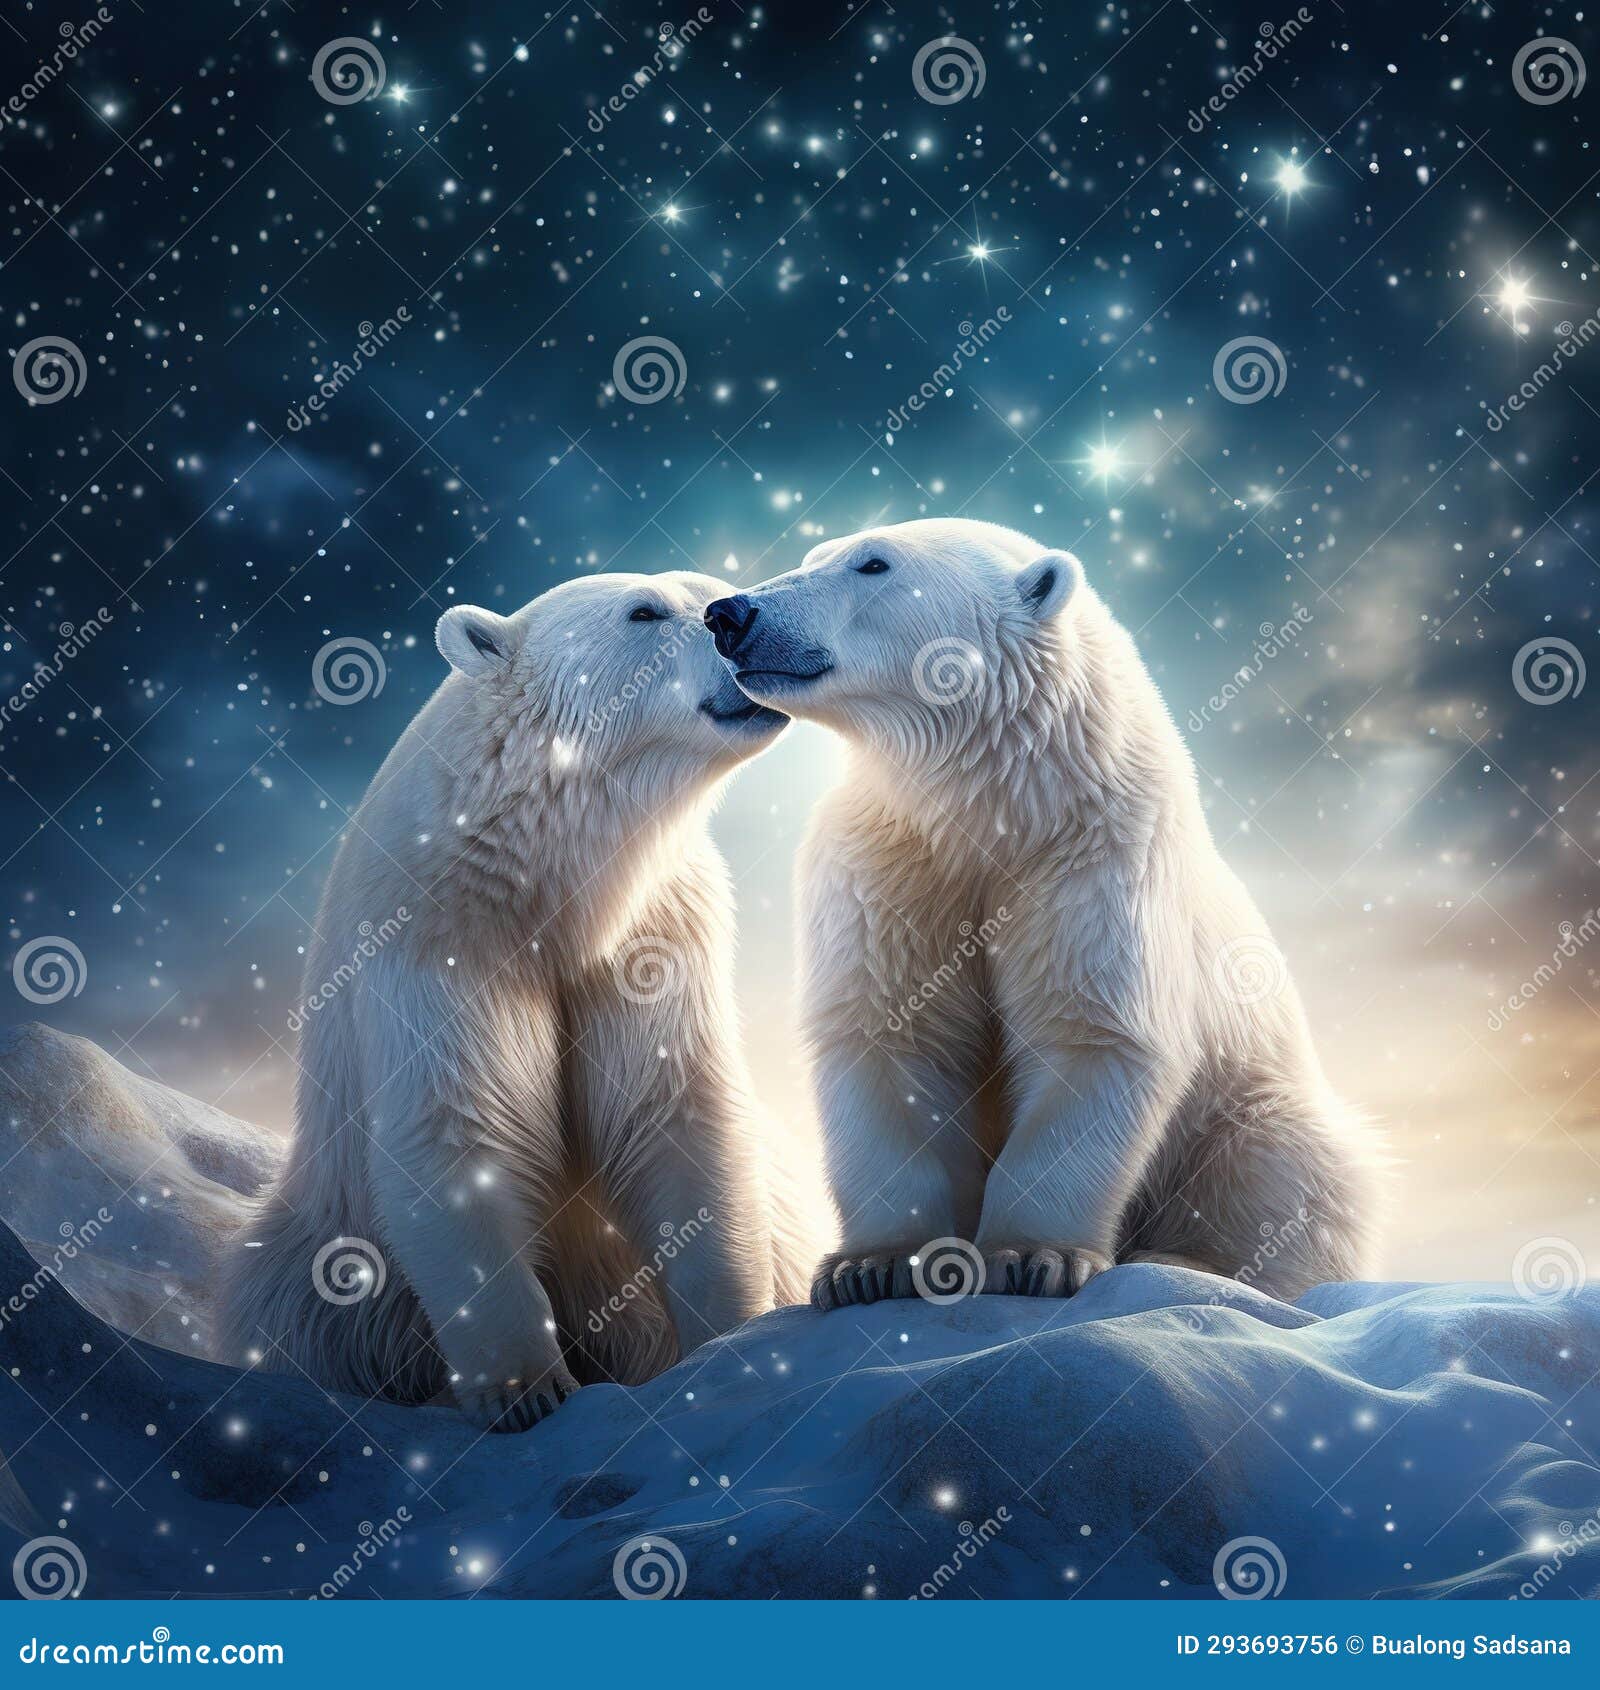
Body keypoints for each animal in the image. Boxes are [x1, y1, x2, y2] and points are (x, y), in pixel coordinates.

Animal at [221, 571, 818, 1431]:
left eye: (715, 590)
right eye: (644, 611)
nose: (733, 618)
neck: (550, 880)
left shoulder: (653, 939)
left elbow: (677, 1117)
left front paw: (733, 1343)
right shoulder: (438, 939)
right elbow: (462, 1129)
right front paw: (528, 1392)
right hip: (320, 1249)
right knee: (295, 1313)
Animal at [704, 517, 1383, 1309]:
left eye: (873, 564)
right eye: (813, 556)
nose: (730, 613)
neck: (998, 809)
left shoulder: (1096, 859)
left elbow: (1090, 1032)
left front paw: (1034, 1257)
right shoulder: (891, 861)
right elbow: (890, 1036)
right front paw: (871, 1268)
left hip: (1254, 1100)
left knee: (1284, 1168)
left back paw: (1190, 1260)